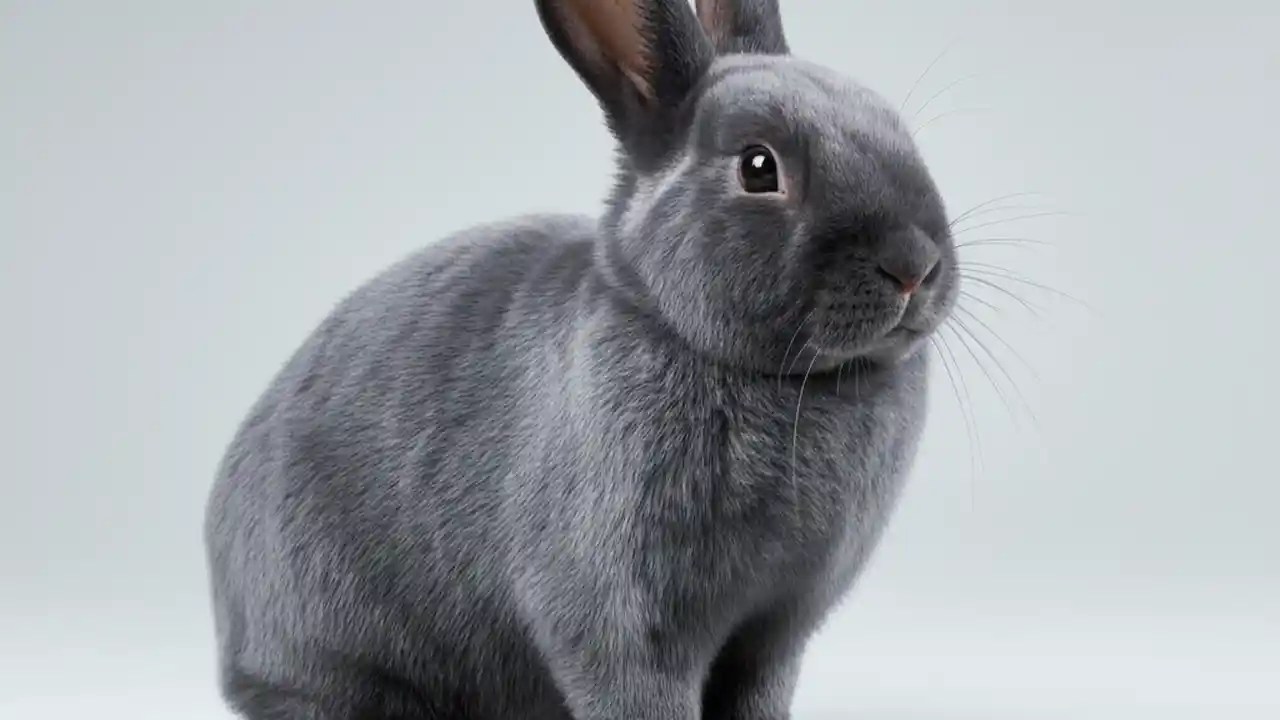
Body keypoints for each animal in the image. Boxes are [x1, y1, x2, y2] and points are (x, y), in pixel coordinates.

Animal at [203, 1, 959, 718]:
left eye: (894, 126)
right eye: (758, 167)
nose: (913, 265)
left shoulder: (773, 632)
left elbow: (758, 695)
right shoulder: (625, 622)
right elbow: (639, 692)